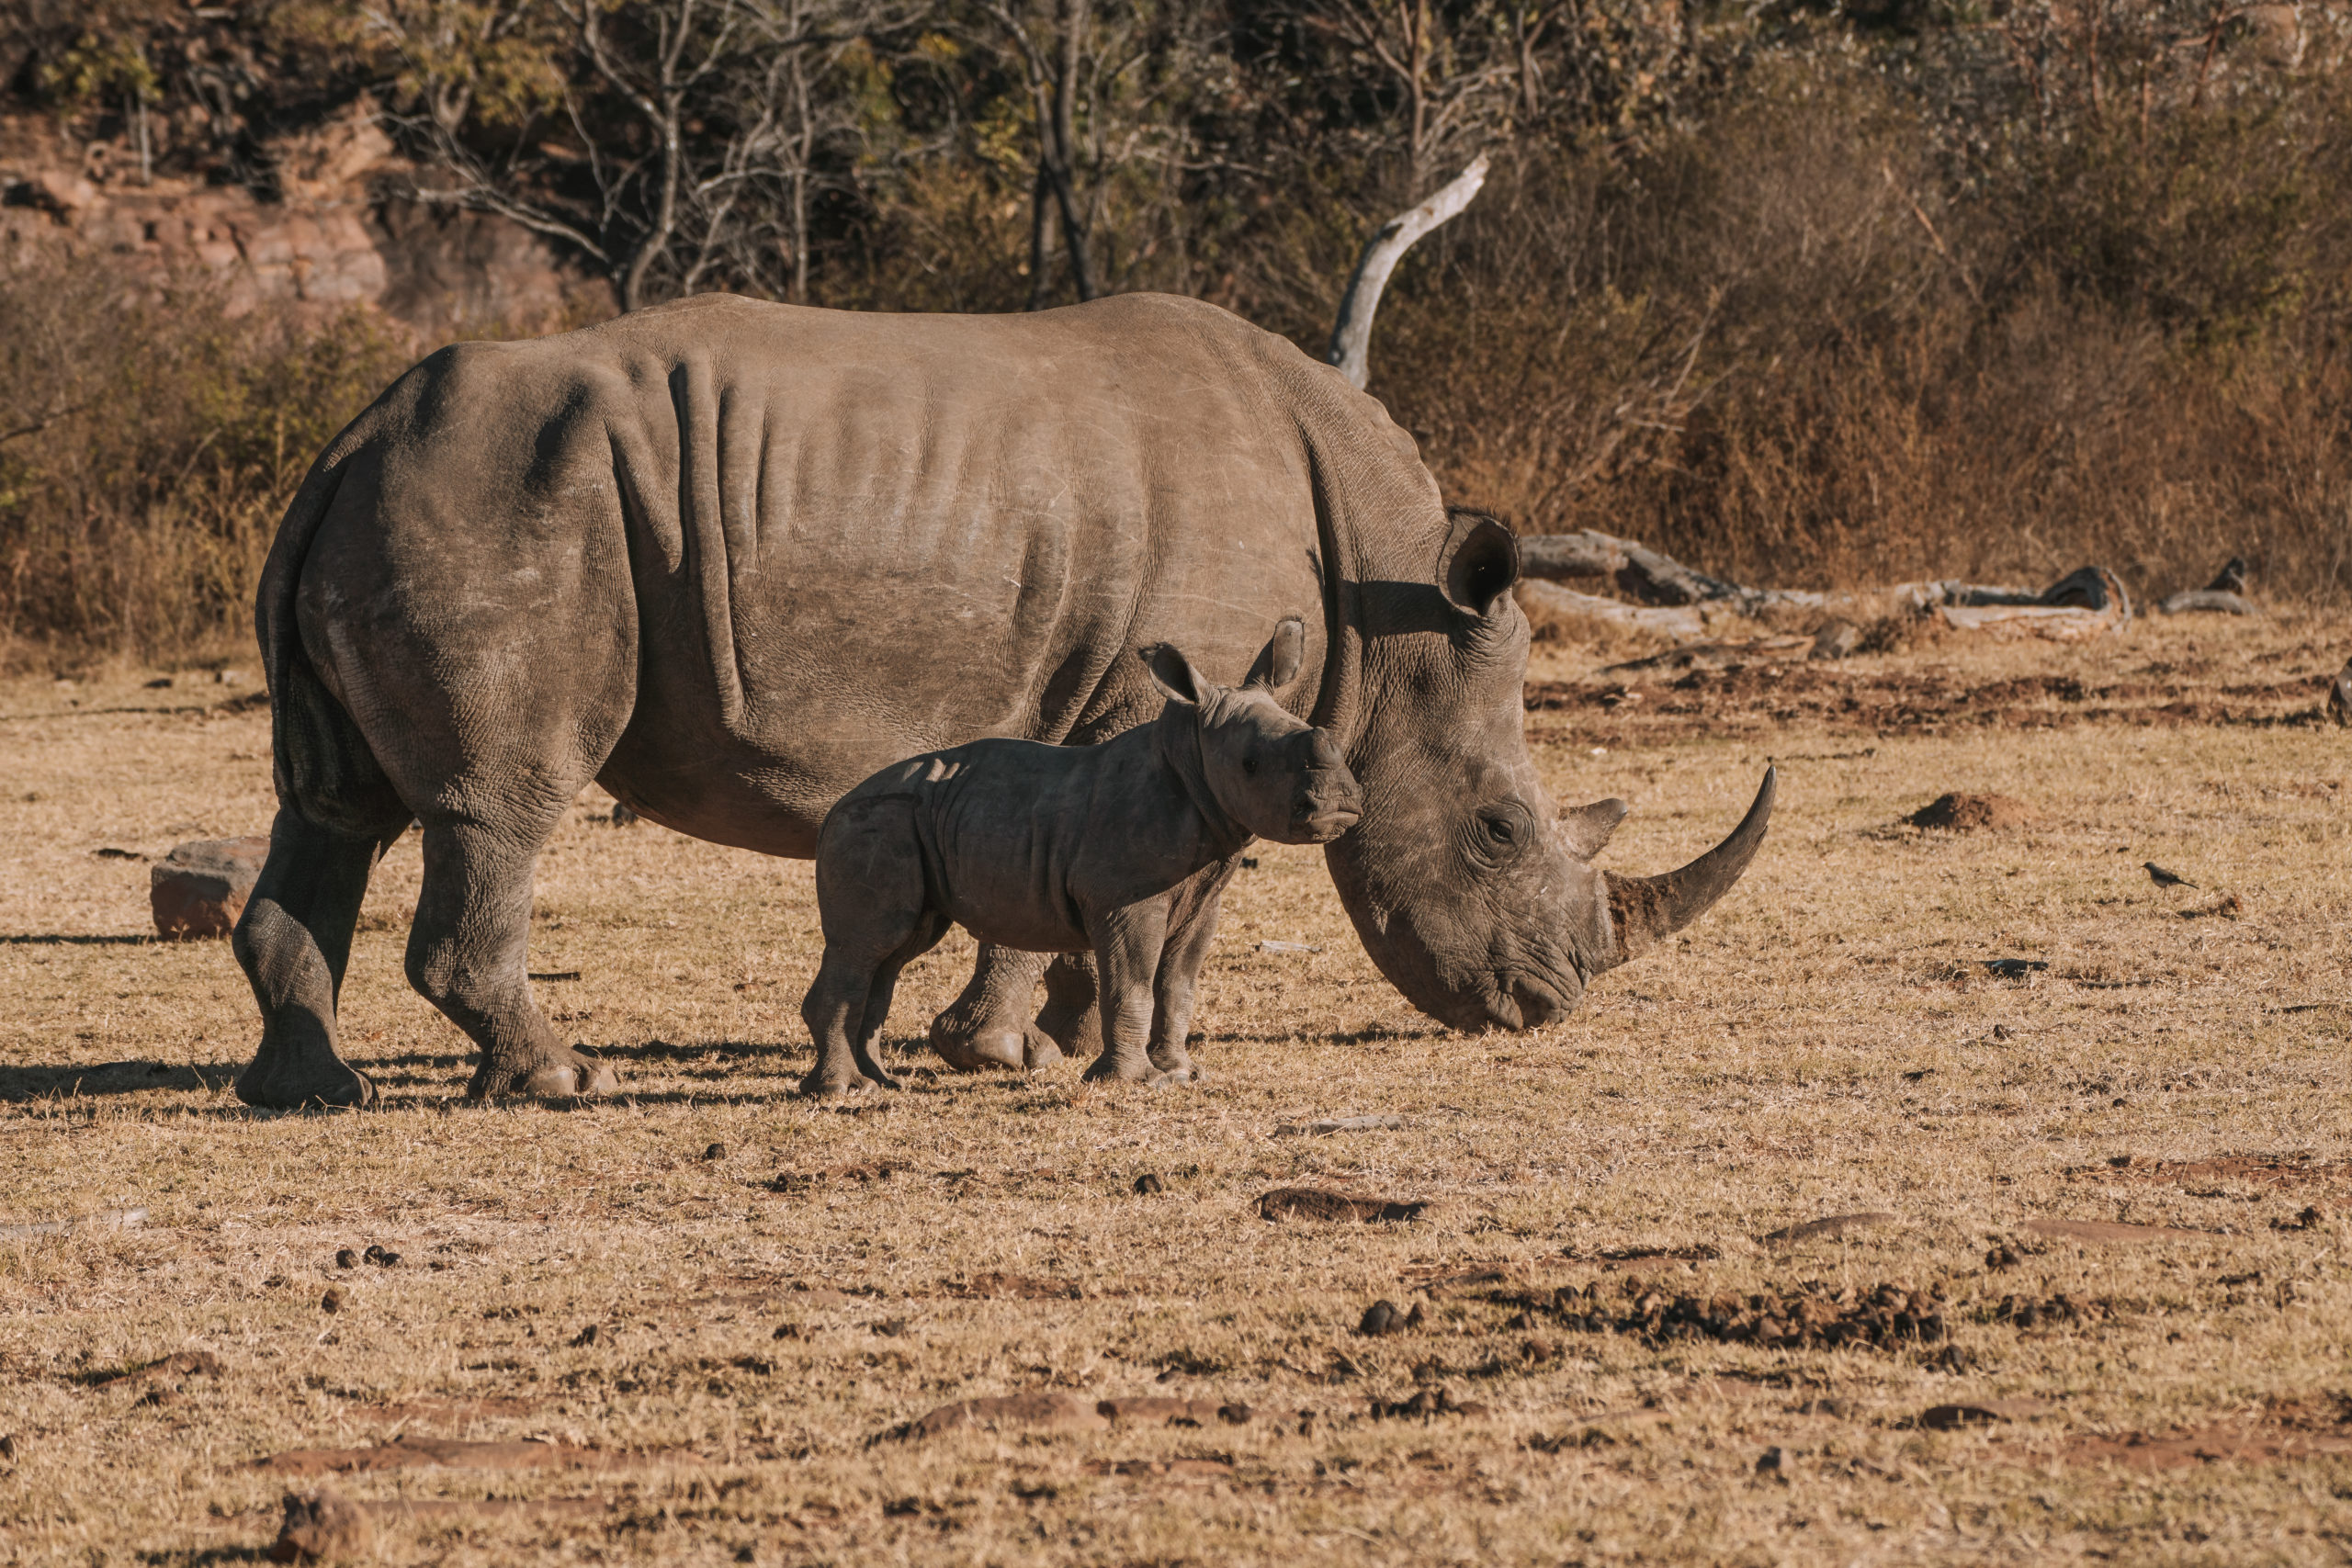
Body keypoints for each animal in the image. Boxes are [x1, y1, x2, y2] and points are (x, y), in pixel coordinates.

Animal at [805, 628, 1362, 1094]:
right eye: (1251, 765)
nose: (1339, 802)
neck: (1191, 754)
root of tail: (835, 808)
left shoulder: (1203, 897)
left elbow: (1178, 986)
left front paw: (1182, 1074)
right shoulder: (1124, 896)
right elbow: (1132, 984)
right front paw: (1136, 1082)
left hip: (908, 820)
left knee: (895, 951)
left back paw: (881, 1083)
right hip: (873, 821)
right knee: (871, 945)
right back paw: (842, 1091)